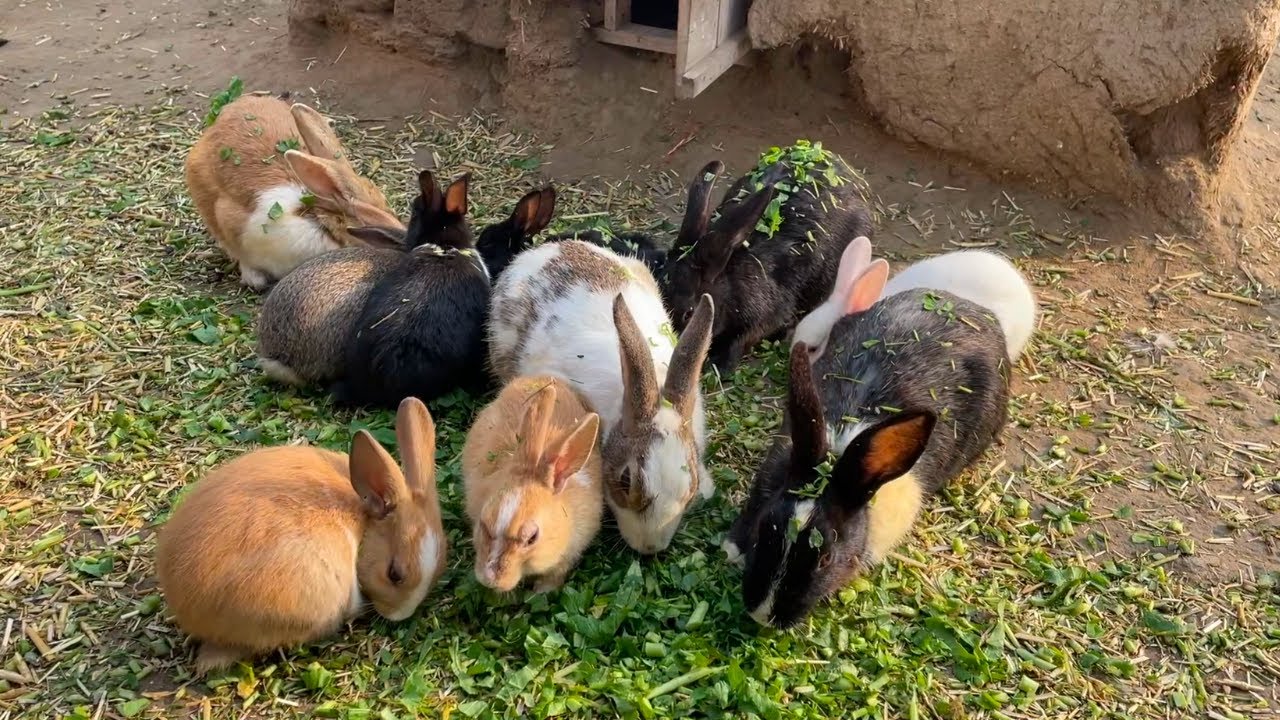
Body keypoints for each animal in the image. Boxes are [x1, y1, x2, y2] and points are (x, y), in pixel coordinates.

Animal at [727, 288, 1011, 628]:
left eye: (826, 559)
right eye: (763, 530)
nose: (763, 615)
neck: (838, 456)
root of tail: (974, 309)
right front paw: (733, 549)